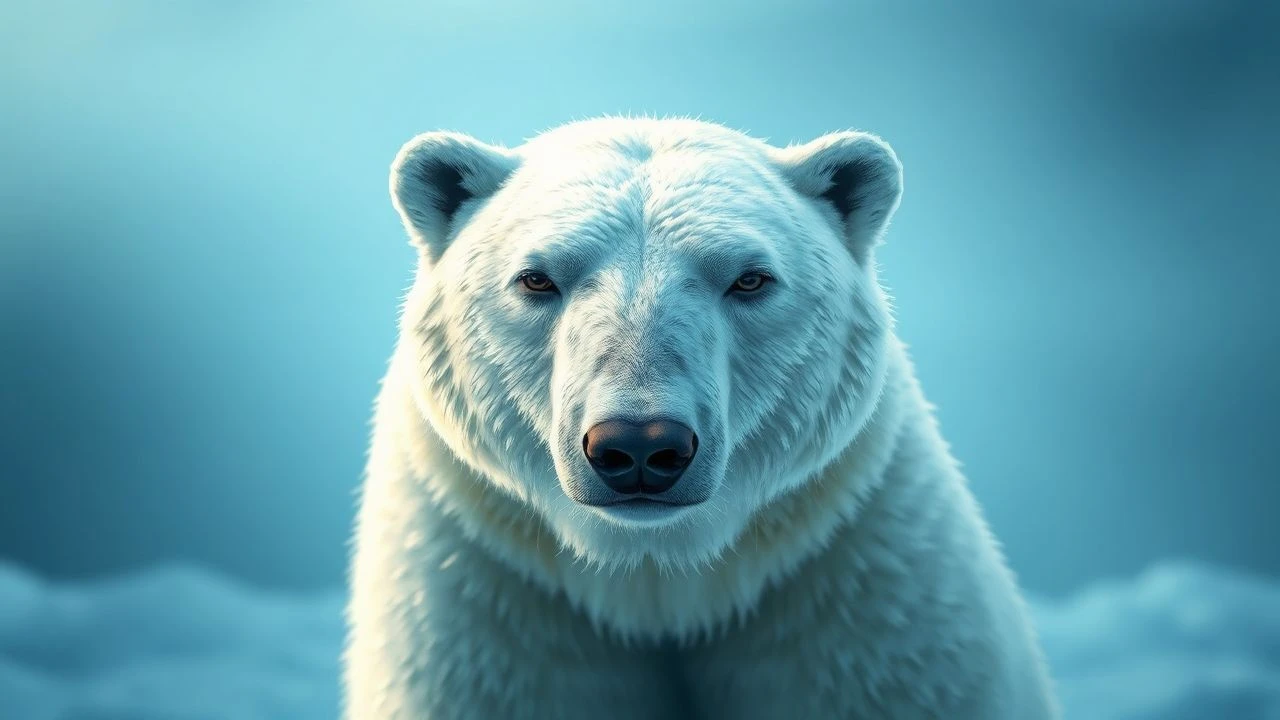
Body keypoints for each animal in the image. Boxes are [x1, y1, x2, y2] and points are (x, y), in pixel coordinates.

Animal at [343, 116, 1060, 720]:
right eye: (536, 278)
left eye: (750, 279)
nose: (638, 446)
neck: (662, 579)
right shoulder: (491, 594)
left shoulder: (847, 580)